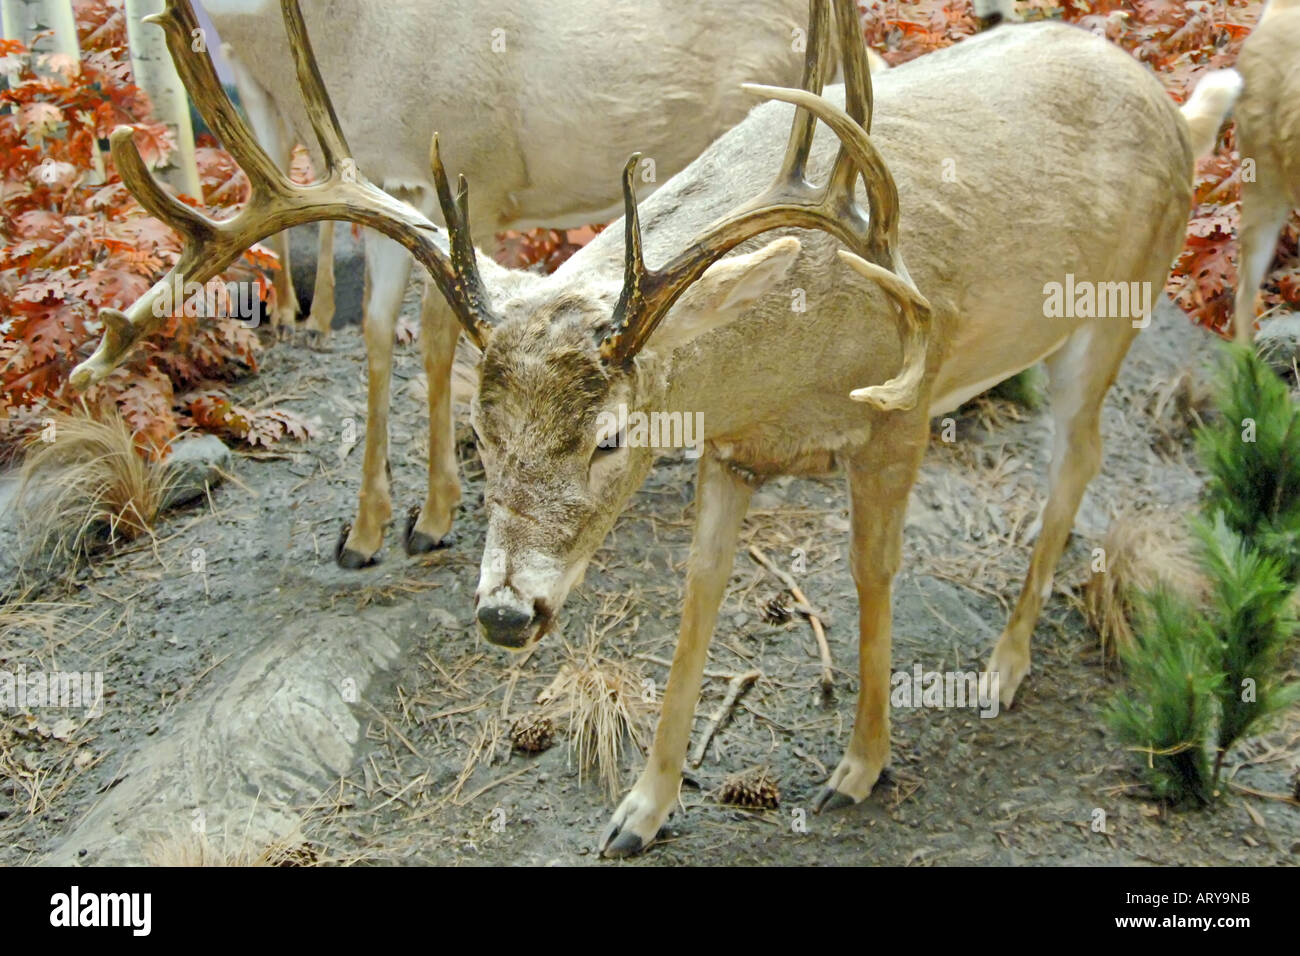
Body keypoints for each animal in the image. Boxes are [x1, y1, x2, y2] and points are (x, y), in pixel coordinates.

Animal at [202, 0, 886, 570]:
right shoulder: (386, 186)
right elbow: (375, 331)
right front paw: (363, 533)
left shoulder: (476, 175)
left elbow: (435, 340)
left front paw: (432, 519)